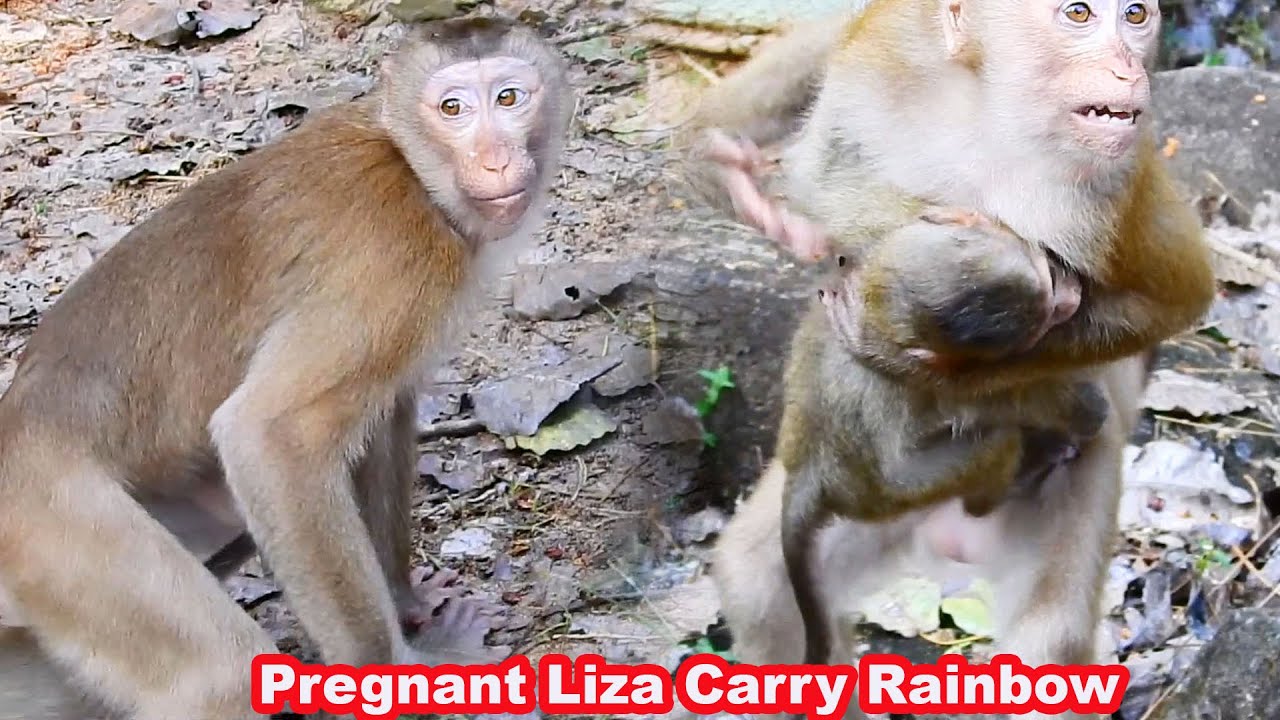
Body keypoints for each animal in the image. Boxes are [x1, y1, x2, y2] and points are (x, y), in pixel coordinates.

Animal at [0, 15, 572, 719]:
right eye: (453, 109)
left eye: (510, 98)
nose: (495, 158)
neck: (410, 166)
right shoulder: (398, 251)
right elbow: (274, 435)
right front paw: (392, 676)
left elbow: (382, 417)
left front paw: (407, 602)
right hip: (53, 528)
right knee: (220, 675)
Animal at [684, 0, 1215, 709]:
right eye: (1078, 14)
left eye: (1135, 15)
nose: (1127, 67)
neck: (994, 118)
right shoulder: (884, 51)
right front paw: (733, 170)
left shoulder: (1117, 181)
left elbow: (1175, 300)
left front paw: (902, 352)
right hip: (870, 503)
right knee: (761, 584)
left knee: (1051, 644)